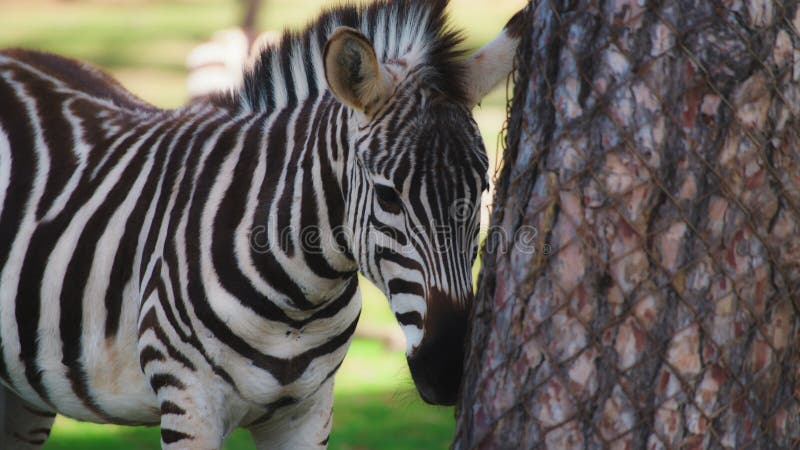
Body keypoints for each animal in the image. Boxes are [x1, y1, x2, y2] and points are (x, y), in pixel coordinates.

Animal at [0, 0, 522, 448]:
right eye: (388, 195)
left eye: (482, 190)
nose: (449, 369)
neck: (298, 301)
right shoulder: (189, 401)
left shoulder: (308, 411)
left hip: (24, 392)